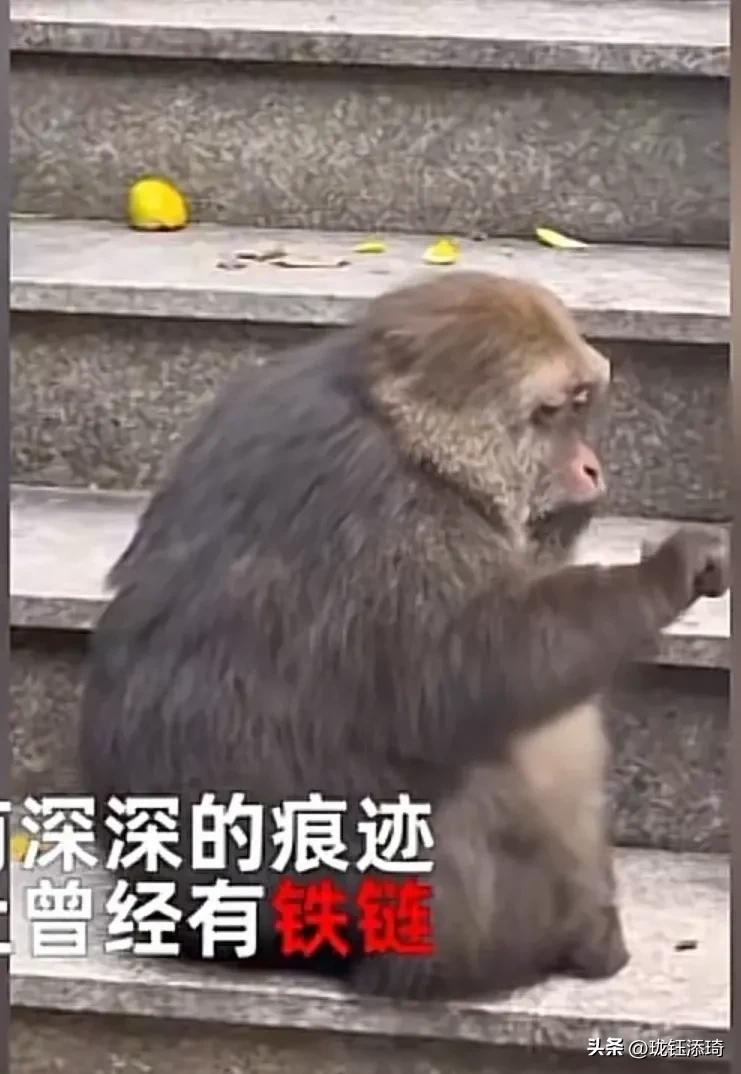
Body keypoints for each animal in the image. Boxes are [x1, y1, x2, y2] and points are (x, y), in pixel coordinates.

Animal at [79, 271, 729, 1001]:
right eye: (550, 414)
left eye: (580, 407)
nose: (590, 467)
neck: (396, 428)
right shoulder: (393, 508)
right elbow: (469, 673)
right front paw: (665, 572)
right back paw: (576, 934)